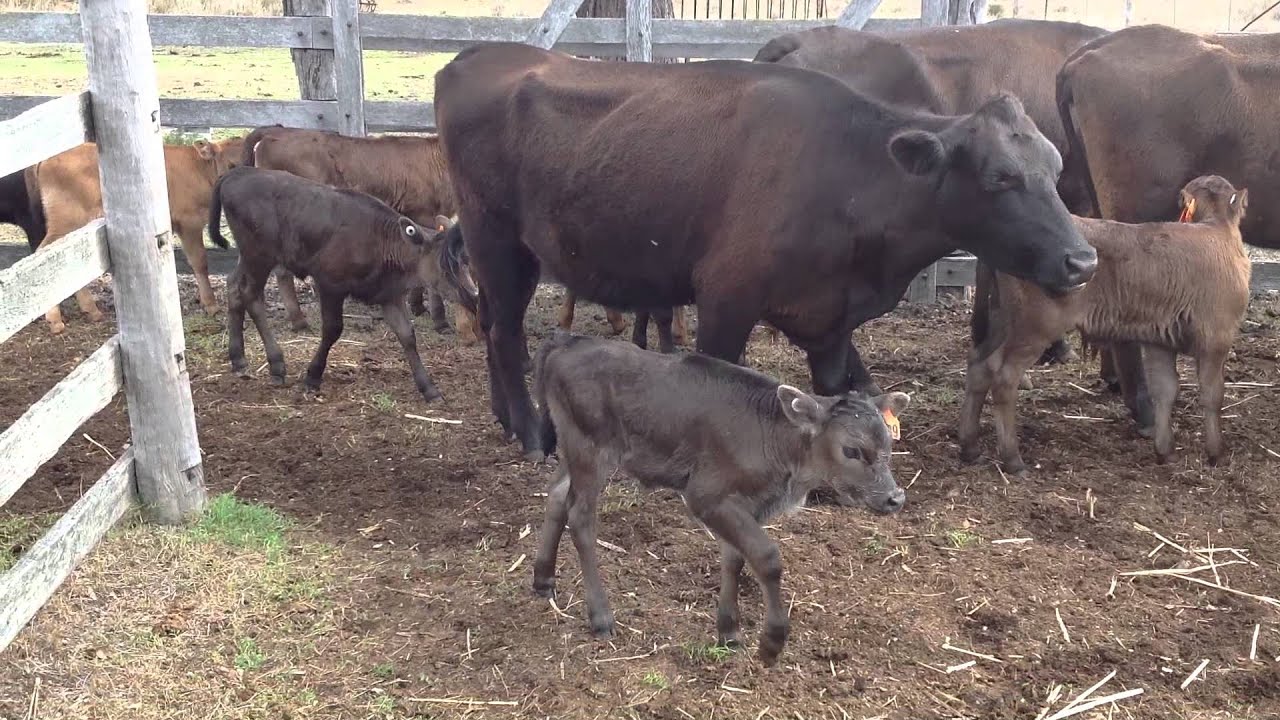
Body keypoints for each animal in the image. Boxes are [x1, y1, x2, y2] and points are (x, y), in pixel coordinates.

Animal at [27, 137, 244, 334]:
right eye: (231, 164)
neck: (200, 169)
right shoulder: (189, 222)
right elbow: (199, 261)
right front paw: (211, 304)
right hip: (66, 221)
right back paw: (55, 318)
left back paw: (91, 310)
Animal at [210, 166, 451, 403]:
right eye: (444, 262)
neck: (381, 239)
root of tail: (235, 173)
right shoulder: (330, 285)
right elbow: (333, 328)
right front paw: (313, 377)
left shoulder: (389, 295)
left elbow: (407, 335)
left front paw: (429, 389)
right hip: (259, 256)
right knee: (250, 294)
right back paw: (276, 365)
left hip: (248, 257)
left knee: (234, 286)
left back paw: (239, 360)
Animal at [240, 125, 481, 344]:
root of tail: (278, 131)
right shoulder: (424, 215)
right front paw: (440, 320)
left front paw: (417, 305)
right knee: (282, 271)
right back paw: (299, 320)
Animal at [530, 330, 909, 666]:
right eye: (852, 450)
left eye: (888, 443)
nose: (894, 498)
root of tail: (566, 342)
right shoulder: (706, 495)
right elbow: (767, 557)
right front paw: (771, 642)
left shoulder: (742, 505)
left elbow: (735, 558)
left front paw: (728, 631)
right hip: (591, 449)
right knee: (580, 517)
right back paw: (601, 615)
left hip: (572, 448)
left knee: (557, 495)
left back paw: (543, 579)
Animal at [960, 176, 1250, 472]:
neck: (1216, 228)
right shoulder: (1217, 336)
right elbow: (1213, 394)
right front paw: (1216, 453)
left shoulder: (1161, 340)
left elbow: (1165, 390)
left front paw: (1165, 450)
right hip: (1034, 327)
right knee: (1004, 378)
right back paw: (1012, 459)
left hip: (1001, 320)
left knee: (980, 366)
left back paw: (969, 447)